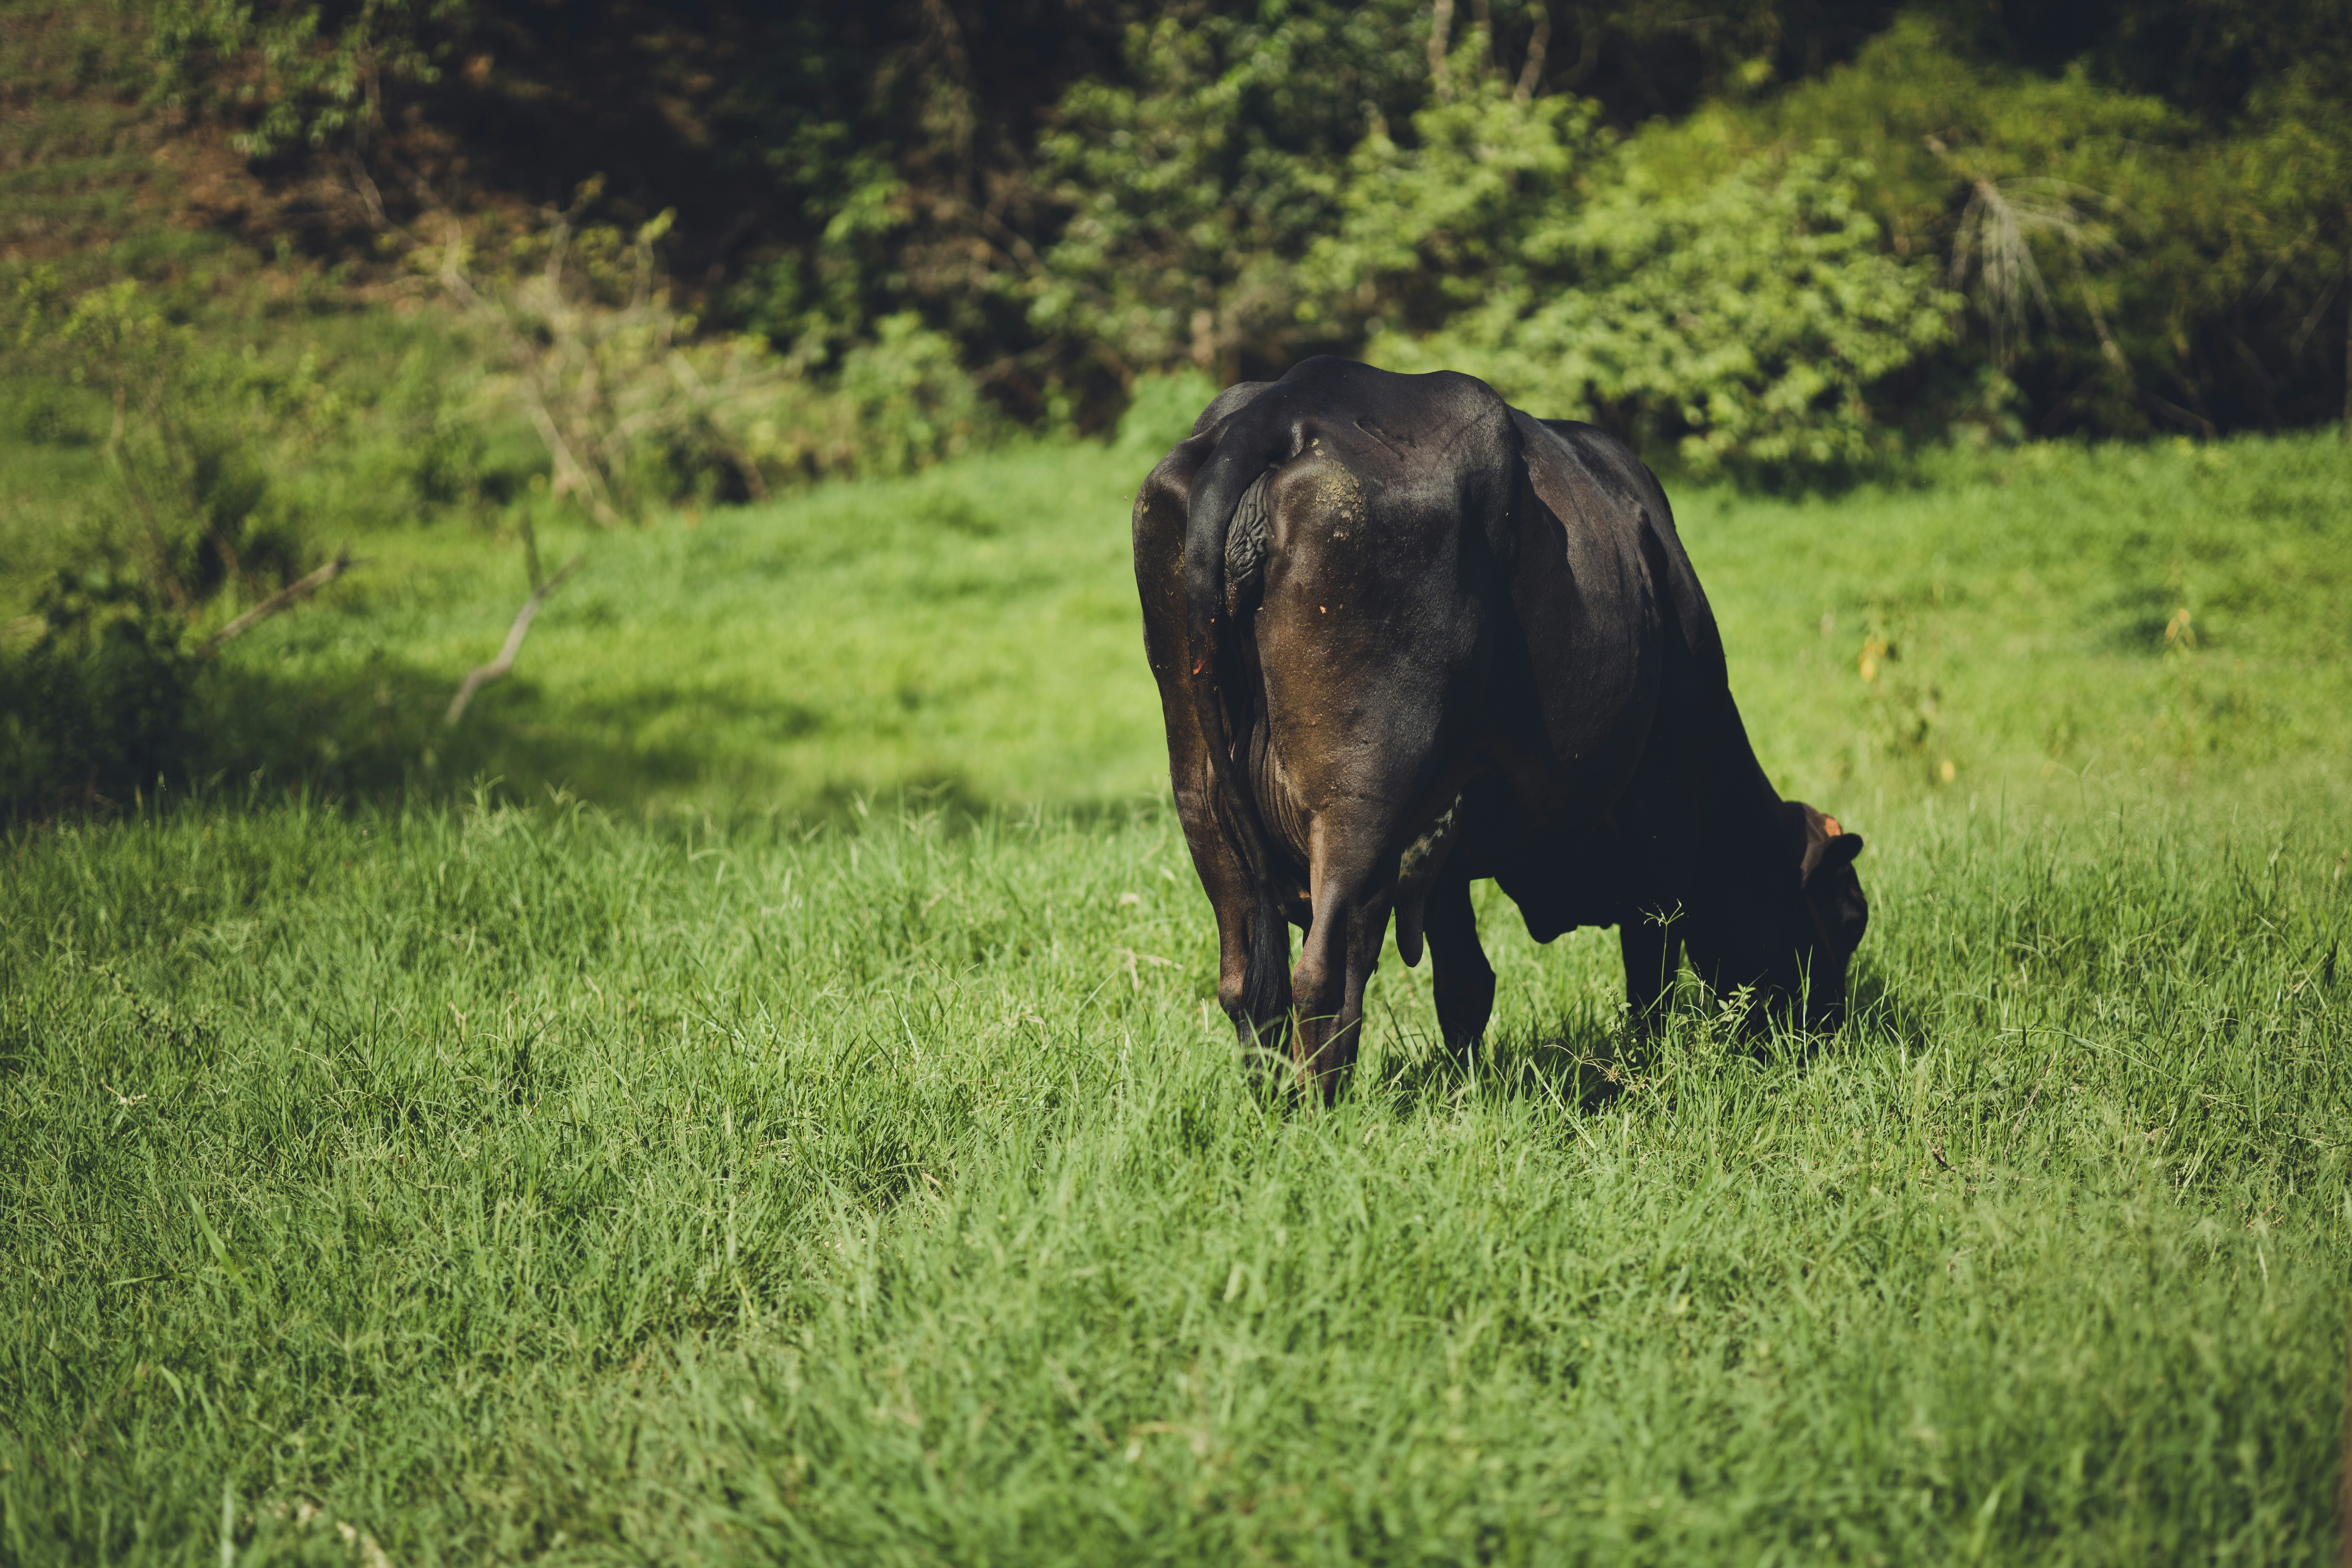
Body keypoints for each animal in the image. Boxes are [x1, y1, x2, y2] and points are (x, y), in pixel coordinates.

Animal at [1132, 357, 1866, 1100]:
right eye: (1850, 918)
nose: (1831, 1031)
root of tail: (1286, 403)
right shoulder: (1661, 816)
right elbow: (1650, 967)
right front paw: (1646, 1069)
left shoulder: (1444, 844)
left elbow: (1465, 982)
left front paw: (1466, 1088)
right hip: (1357, 801)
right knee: (1323, 975)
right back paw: (1319, 1108)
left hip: (1201, 792)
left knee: (1246, 980)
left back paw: (1271, 1102)